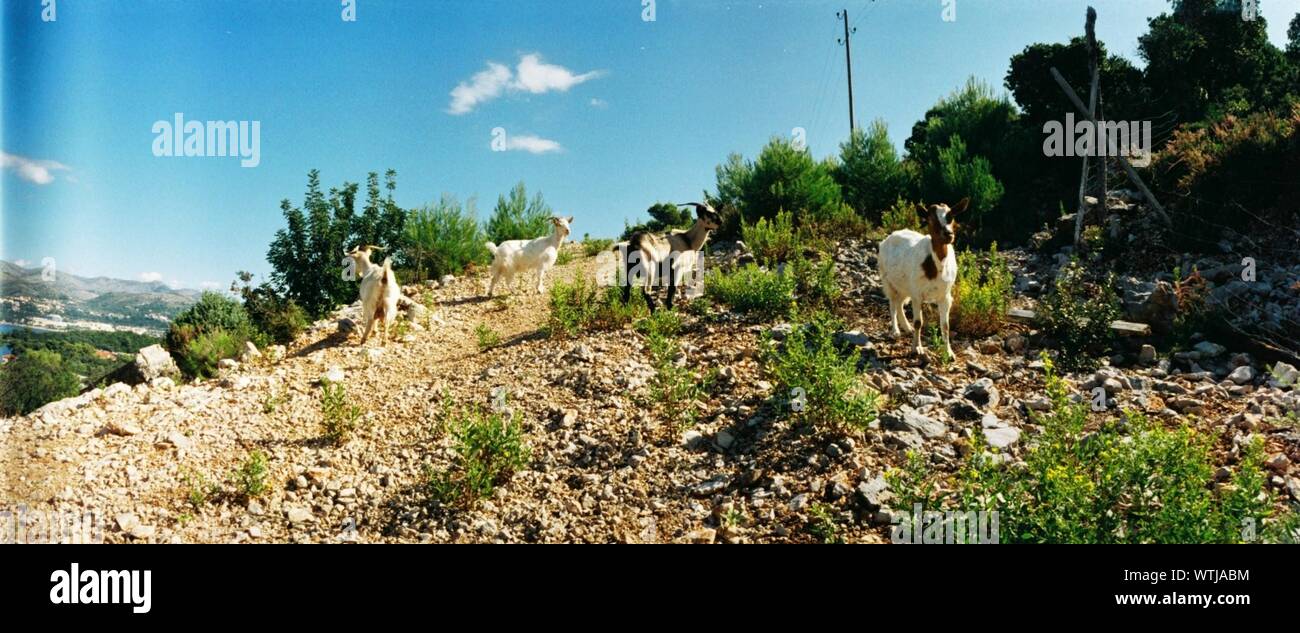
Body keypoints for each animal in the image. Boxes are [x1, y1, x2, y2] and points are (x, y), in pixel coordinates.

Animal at [877, 198, 969, 359]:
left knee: (900, 302)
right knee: (893, 303)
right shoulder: (917, 294)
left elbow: (945, 325)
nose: (948, 234)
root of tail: (889, 237)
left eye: (951, 216)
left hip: (904, 285)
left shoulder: (945, 295)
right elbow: (918, 322)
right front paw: (917, 348)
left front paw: (949, 353)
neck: (936, 268)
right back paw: (896, 331)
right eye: (930, 219)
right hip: (888, 279)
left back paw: (906, 327)